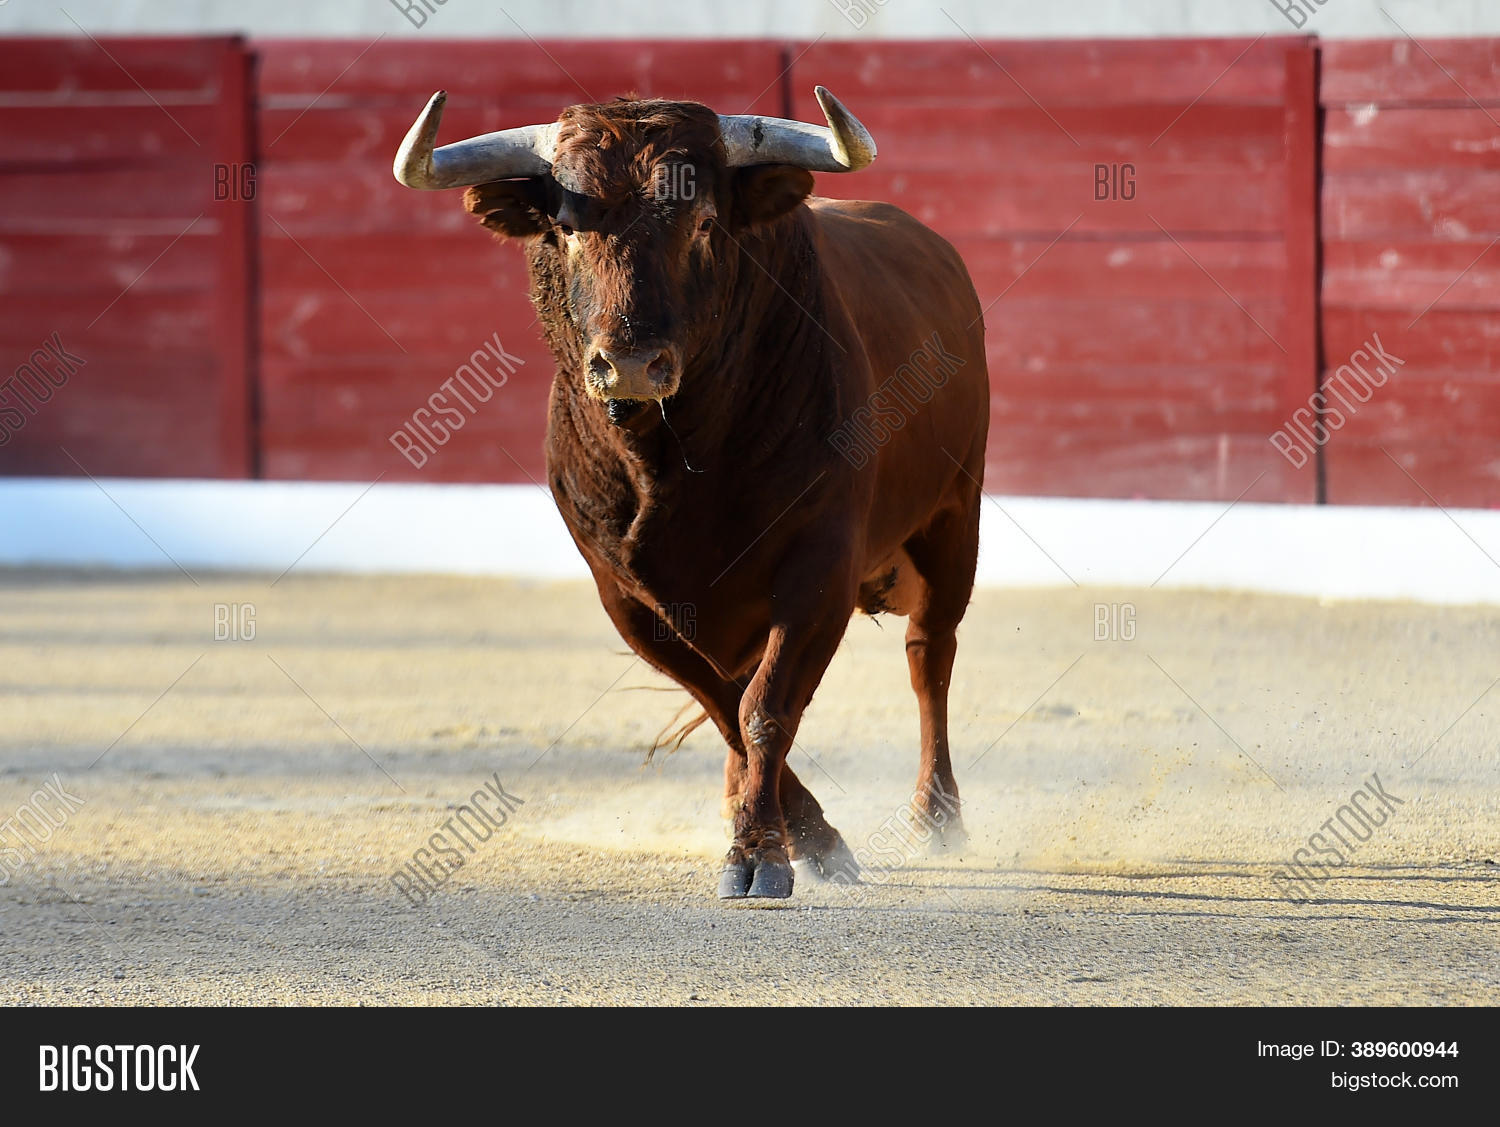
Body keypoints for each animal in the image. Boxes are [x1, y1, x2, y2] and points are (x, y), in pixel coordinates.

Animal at [394, 86, 989, 899]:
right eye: (566, 227)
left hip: (955, 516)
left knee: (930, 655)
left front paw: (763, 855)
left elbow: (766, 706)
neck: (671, 459)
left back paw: (938, 817)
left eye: (703, 222)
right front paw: (799, 836)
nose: (630, 363)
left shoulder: (820, 566)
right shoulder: (626, 596)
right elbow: (727, 707)